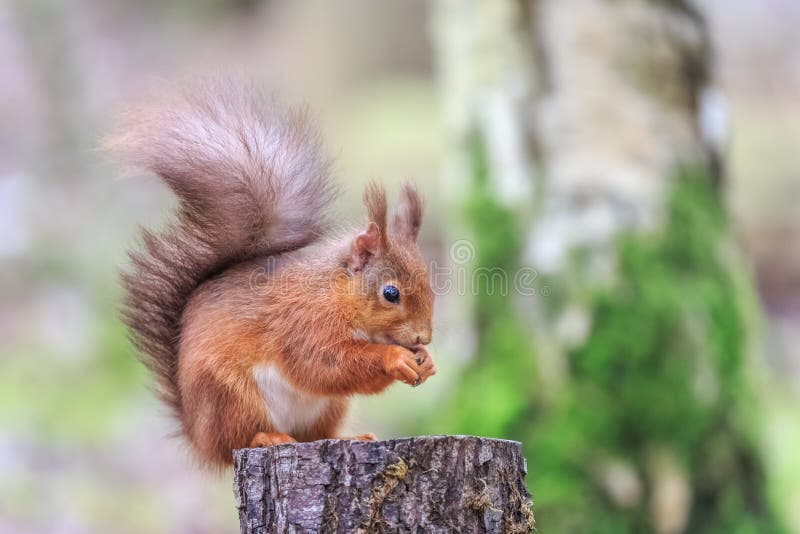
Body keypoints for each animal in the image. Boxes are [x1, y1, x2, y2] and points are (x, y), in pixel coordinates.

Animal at [107, 81, 436, 469]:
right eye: (391, 293)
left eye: (431, 288)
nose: (424, 337)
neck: (337, 293)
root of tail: (196, 434)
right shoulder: (303, 323)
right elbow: (324, 364)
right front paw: (396, 358)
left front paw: (426, 361)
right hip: (230, 396)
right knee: (236, 441)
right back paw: (267, 437)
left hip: (328, 407)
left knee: (314, 435)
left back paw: (348, 437)